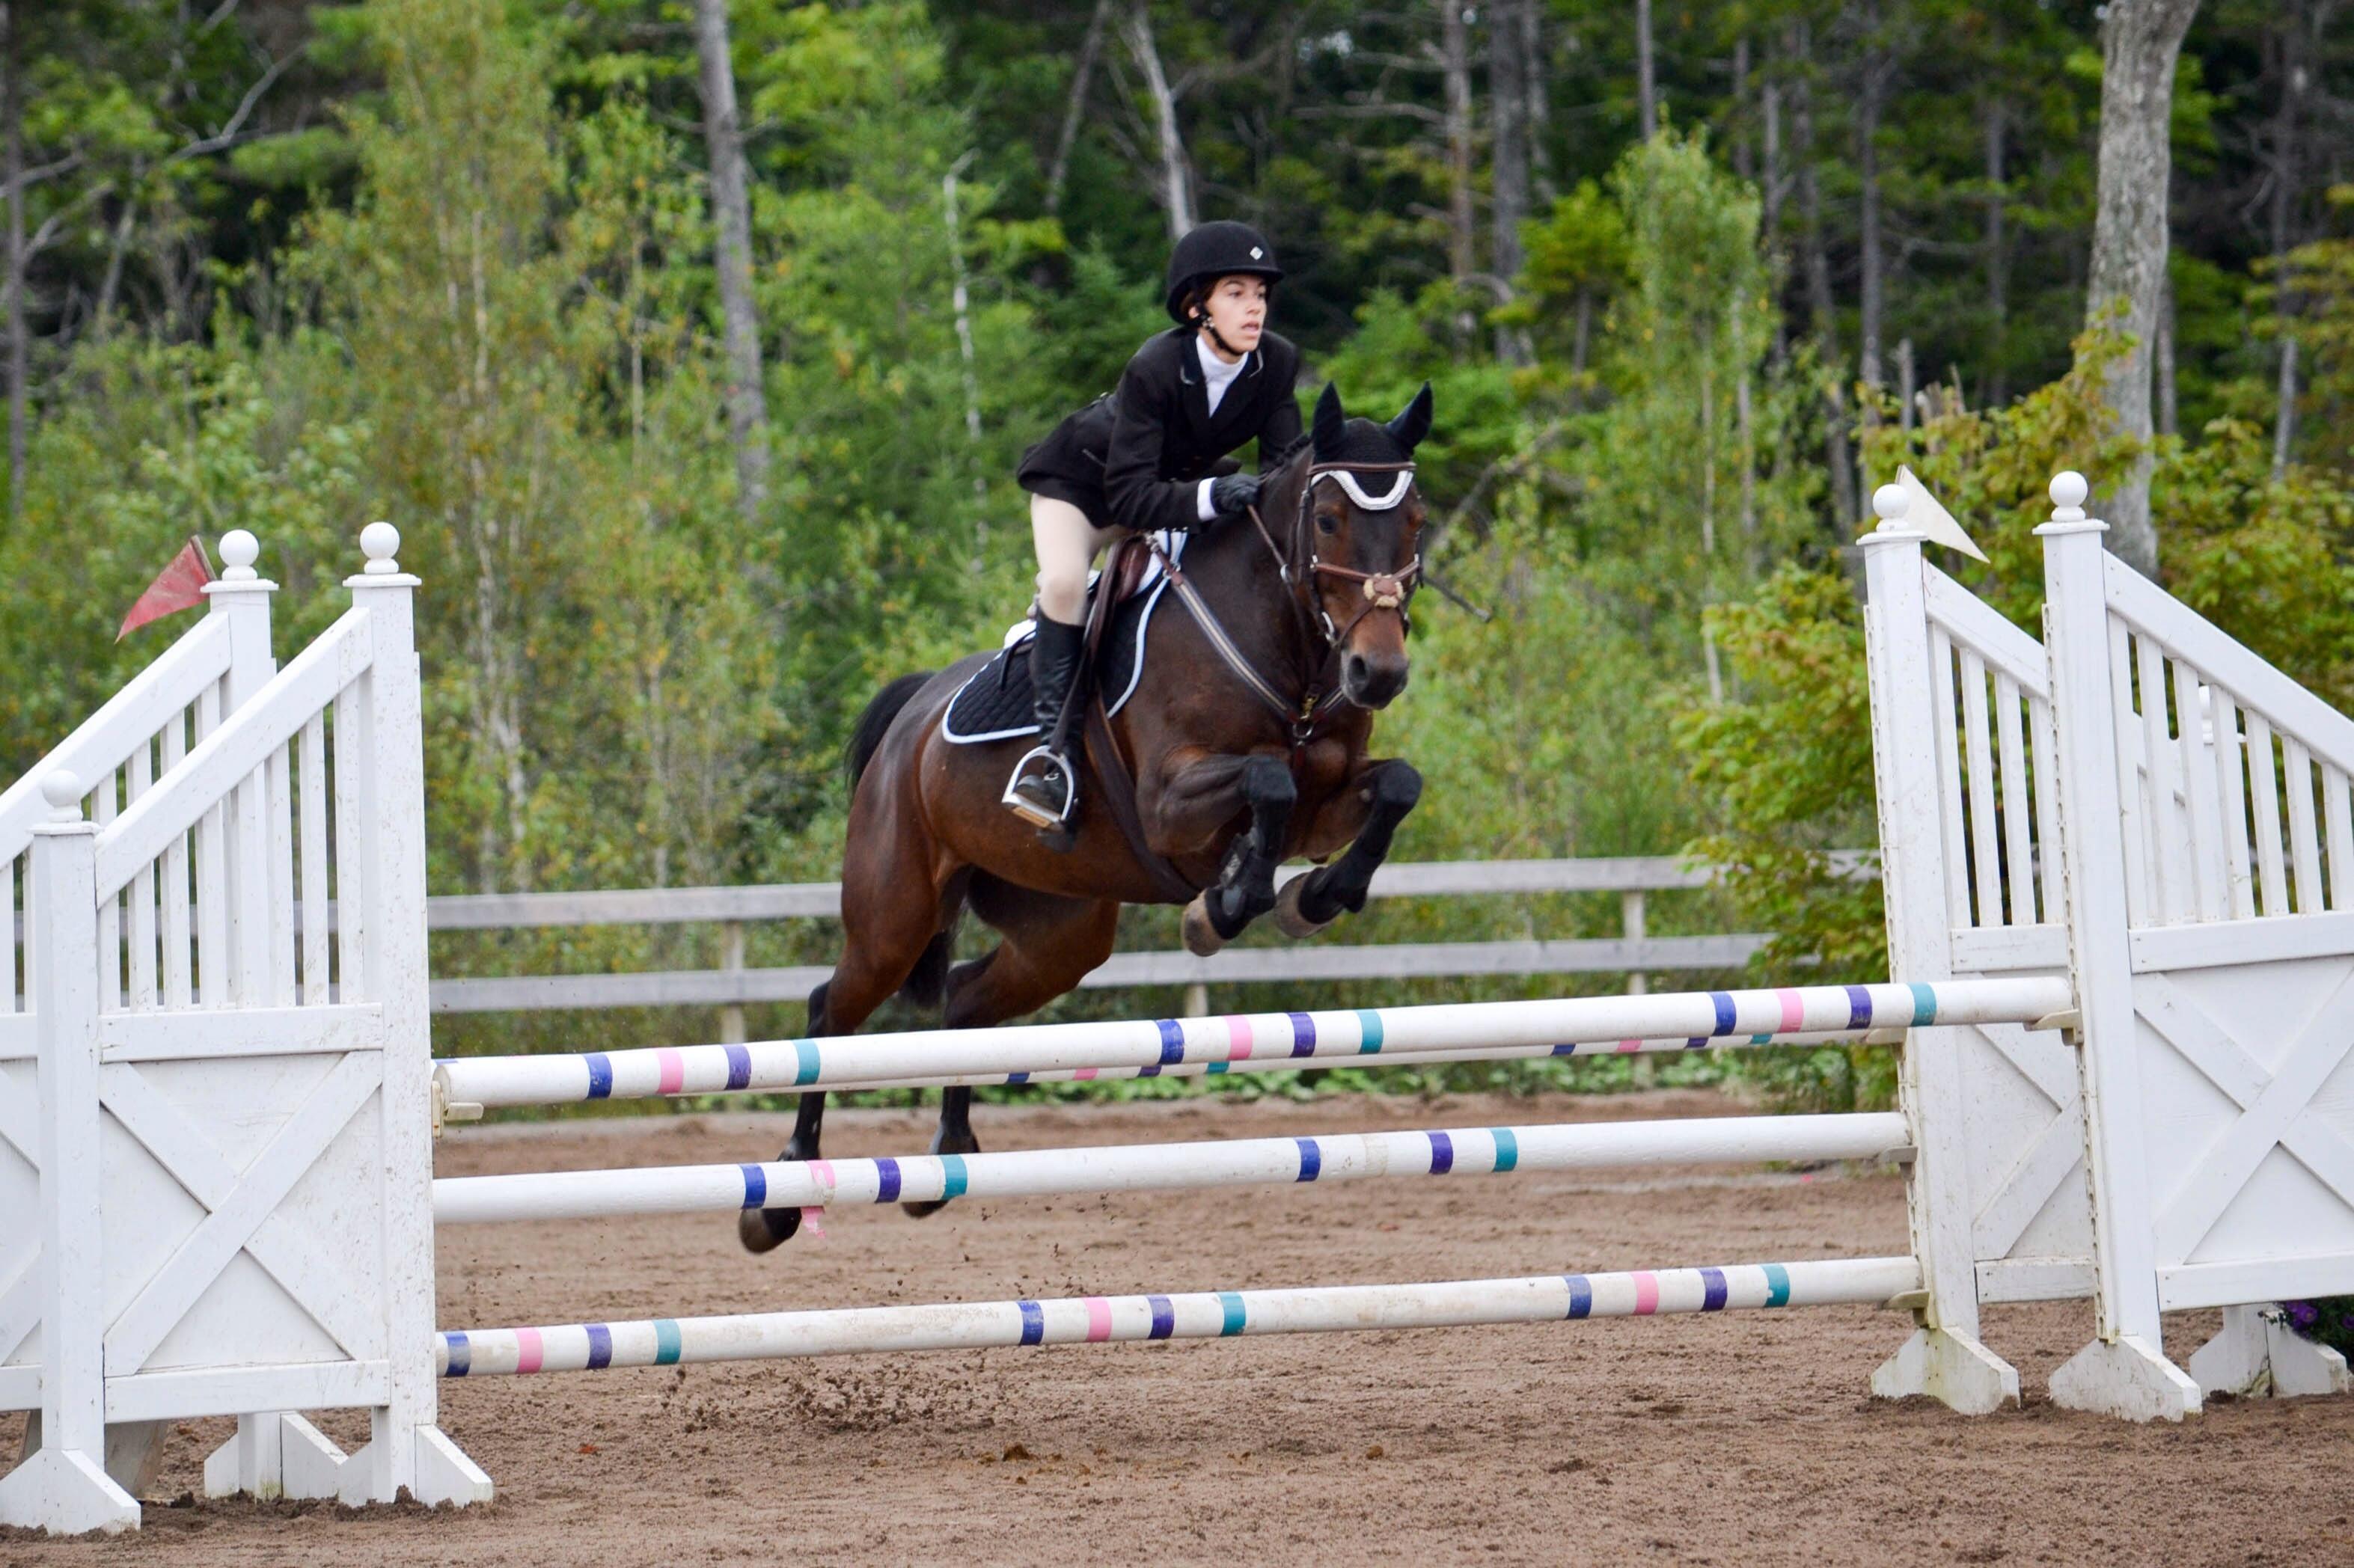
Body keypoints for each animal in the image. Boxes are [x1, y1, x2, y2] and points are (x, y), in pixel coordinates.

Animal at [739, 381, 1433, 1252]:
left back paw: (948, 1158)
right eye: (1330, 520)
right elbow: (1268, 782)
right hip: (892, 917)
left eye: (1416, 521)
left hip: (1059, 931)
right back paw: (778, 1196)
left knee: (965, 999)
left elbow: (1396, 786)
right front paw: (1226, 903)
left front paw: (1314, 897)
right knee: (828, 1014)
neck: (1283, 648)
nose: (1378, 673)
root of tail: (914, 716)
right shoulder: (1171, 806)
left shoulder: (1326, 804)